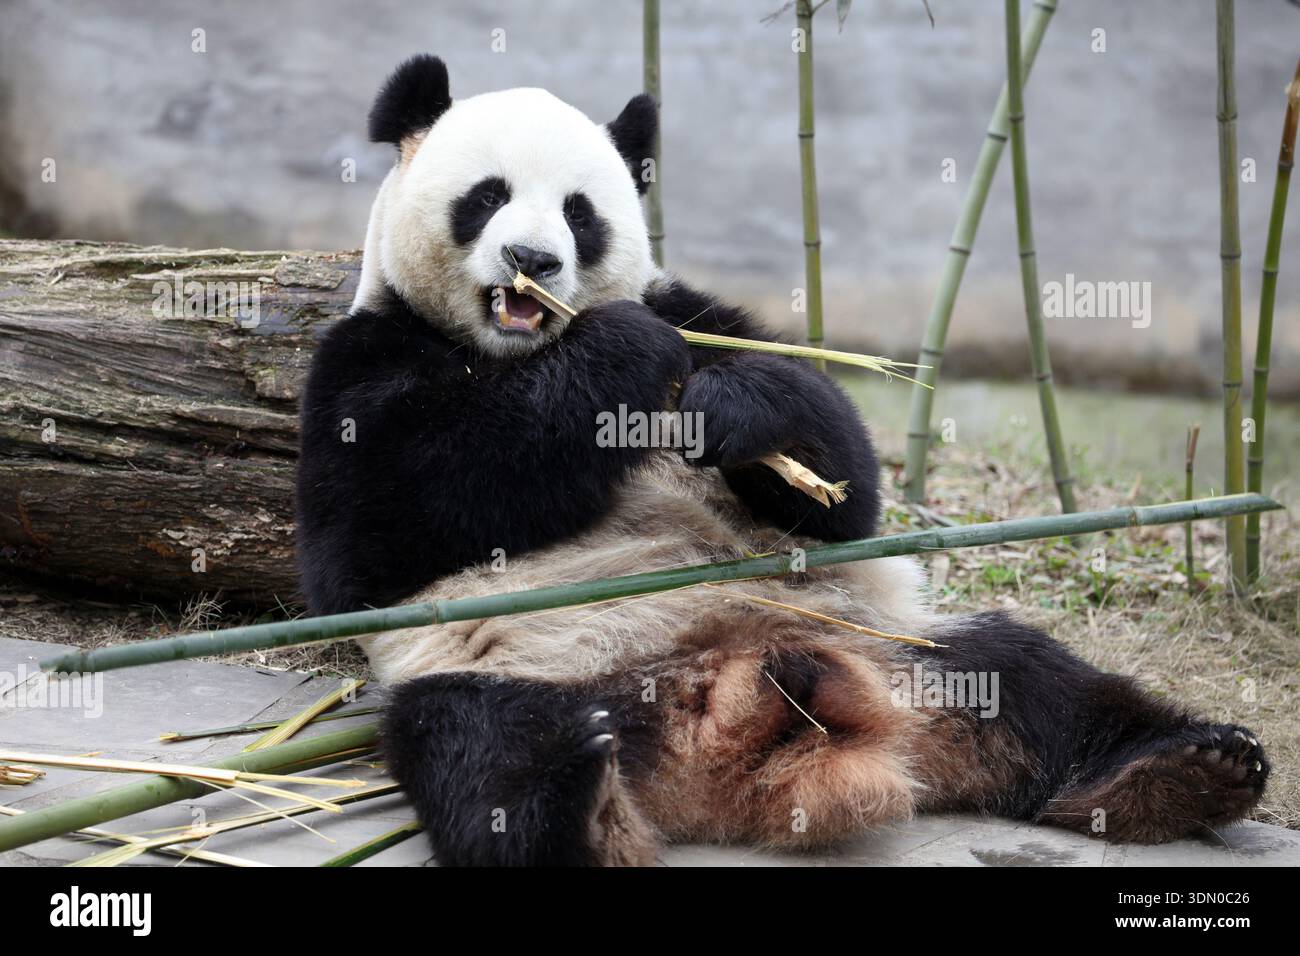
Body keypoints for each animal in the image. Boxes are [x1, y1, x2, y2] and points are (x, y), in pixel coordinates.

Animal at [296, 54, 1269, 866]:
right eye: (488, 195)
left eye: (580, 210)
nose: (533, 259)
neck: (522, 351)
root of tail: (722, 720)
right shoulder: (365, 356)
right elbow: (374, 533)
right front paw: (619, 352)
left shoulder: (699, 309)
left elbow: (846, 486)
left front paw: (739, 409)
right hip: (511, 672)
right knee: (486, 759)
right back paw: (582, 804)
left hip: (896, 643)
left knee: (1036, 680)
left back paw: (1181, 771)